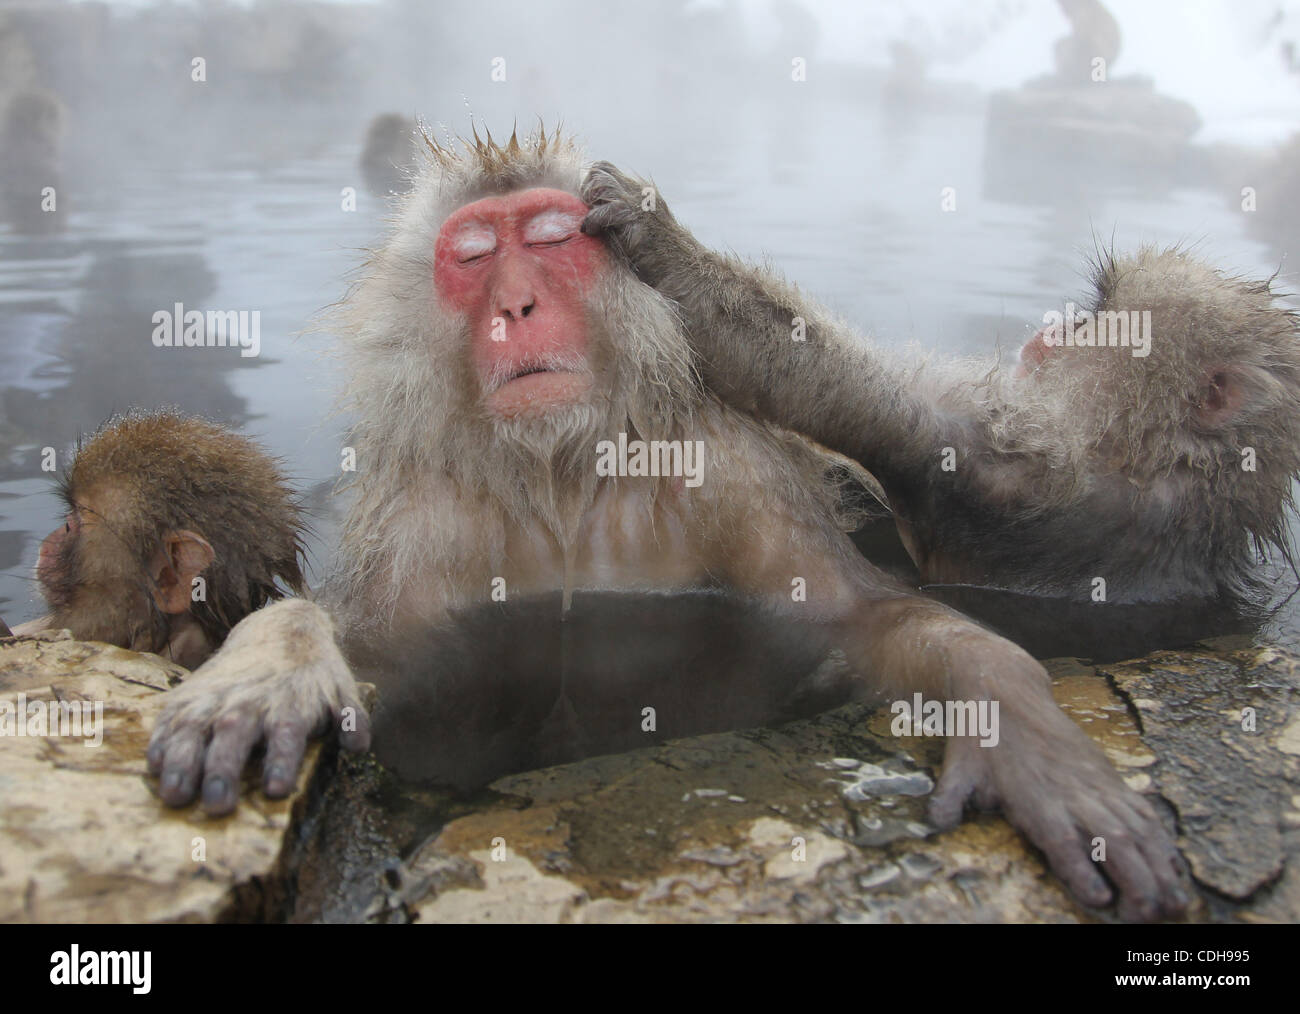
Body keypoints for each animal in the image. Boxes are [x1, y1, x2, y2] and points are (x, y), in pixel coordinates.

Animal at [145, 128, 1187, 921]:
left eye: (552, 239)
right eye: (473, 257)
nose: (515, 306)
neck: (565, 472)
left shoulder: (735, 472)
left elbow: (866, 619)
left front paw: (1014, 719)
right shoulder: (421, 521)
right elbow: (374, 654)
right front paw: (268, 662)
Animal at [580, 163, 1300, 609]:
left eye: (1102, 319)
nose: (1056, 330)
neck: (1133, 462)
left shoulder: (1014, 467)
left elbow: (839, 393)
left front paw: (658, 237)